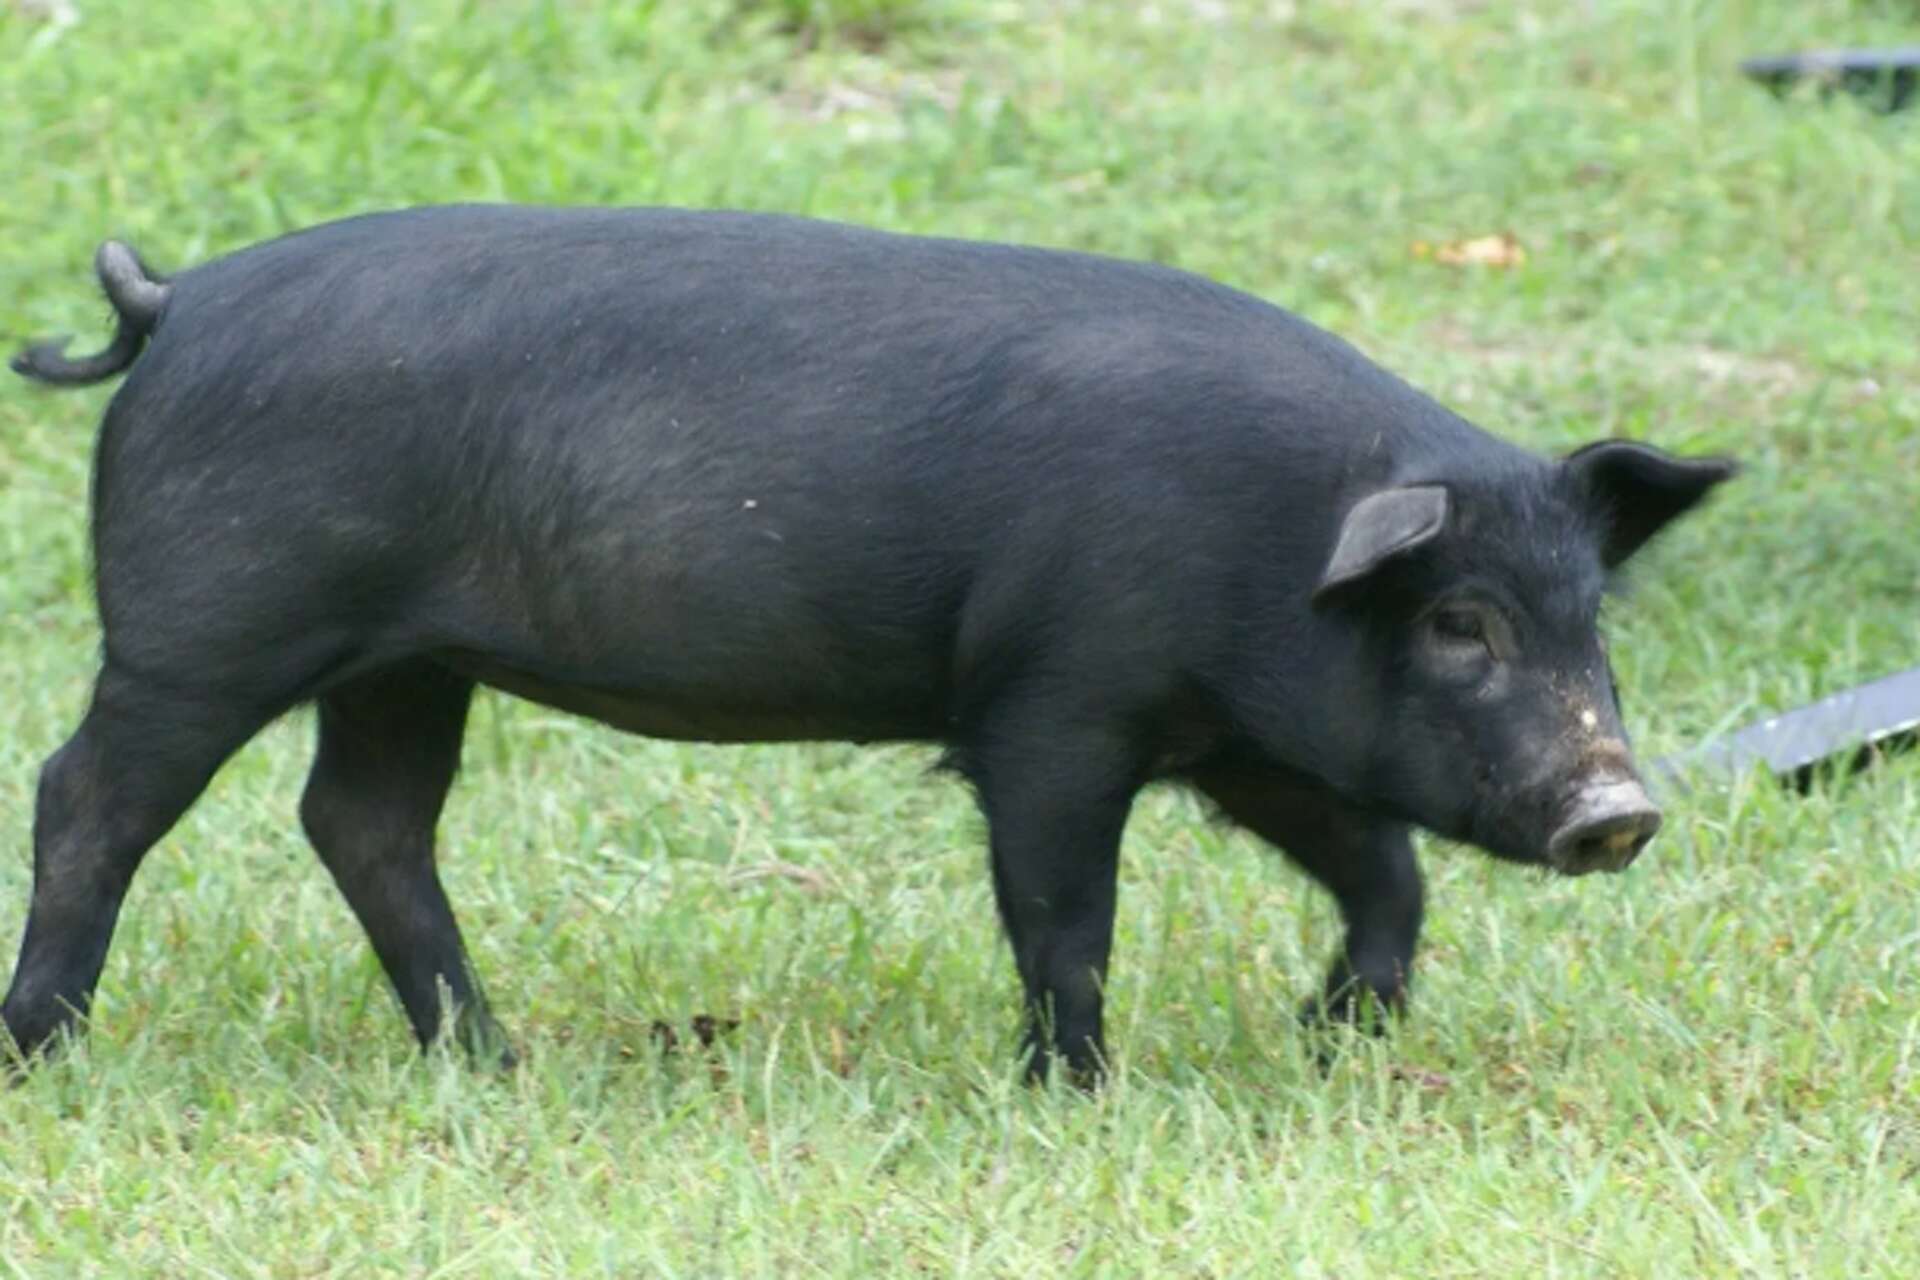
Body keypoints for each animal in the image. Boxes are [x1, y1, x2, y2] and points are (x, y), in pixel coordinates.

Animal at [4, 207, 1734, 1081]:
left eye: (1588, 617)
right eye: (1458, 622)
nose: (1618, 806)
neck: (1263, 537)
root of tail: (180, 303)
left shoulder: (1238, 732)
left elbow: (1385, 867)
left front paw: (1333, 1046)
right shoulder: (1055, 707)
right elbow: (1065, 913)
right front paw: (1077, 1089)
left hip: (405, 664)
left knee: (359, 822)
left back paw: (491, 1063)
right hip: (211, 625)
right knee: (89, 794)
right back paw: (49, 1058)